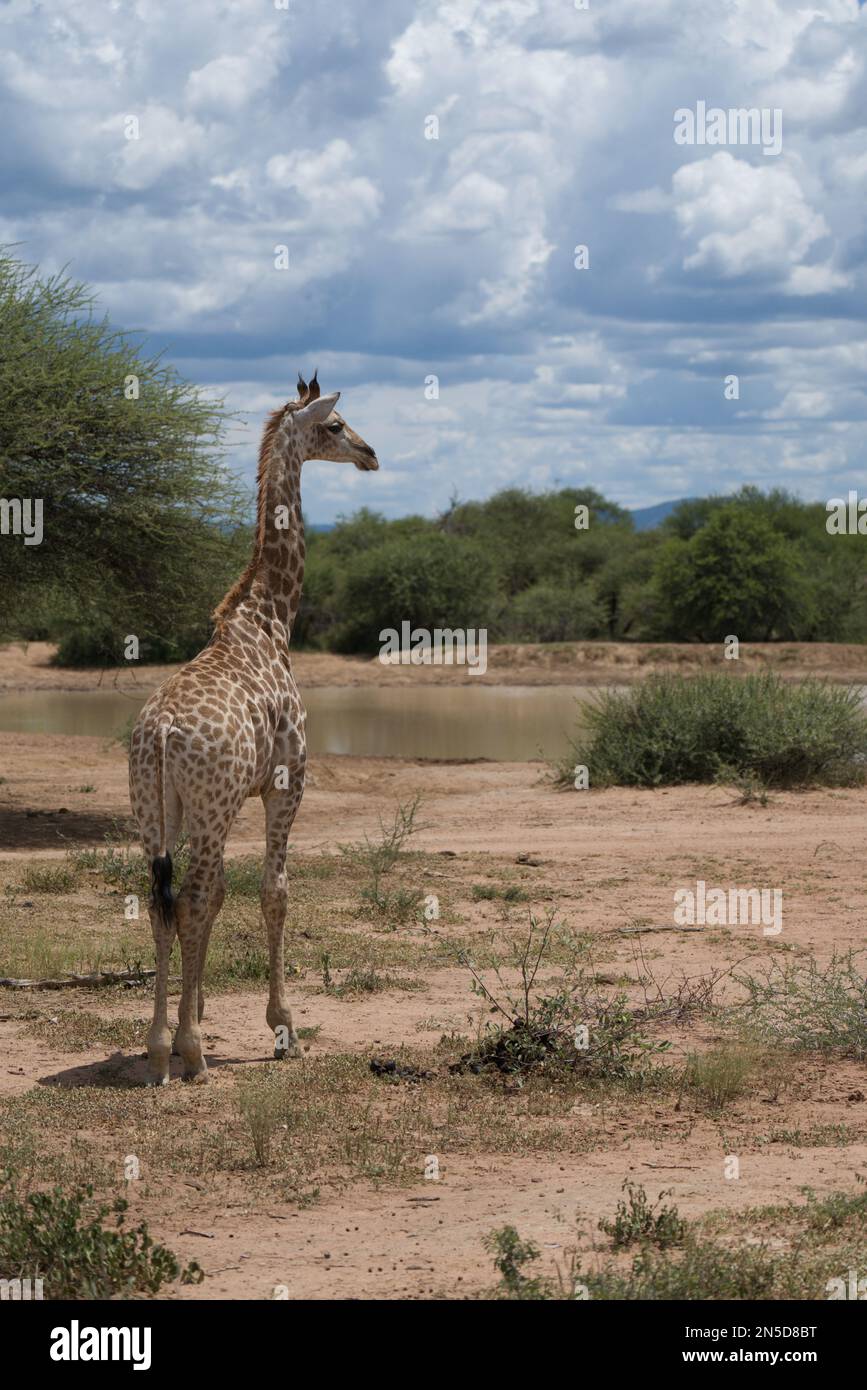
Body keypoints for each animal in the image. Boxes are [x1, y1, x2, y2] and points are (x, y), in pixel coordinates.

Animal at [128, 374, 378, 1084]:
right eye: (335, 425)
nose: (371, 454)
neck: (272, 620)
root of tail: (159, 733)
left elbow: (217, 903)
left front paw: (198, 1013)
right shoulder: (285, 785)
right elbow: (273, 893)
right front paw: (283, 1027)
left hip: (153, 808)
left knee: (161, 900)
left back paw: (158, 1048)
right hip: (211, 808)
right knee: (189, 897)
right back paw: (190, 1054)